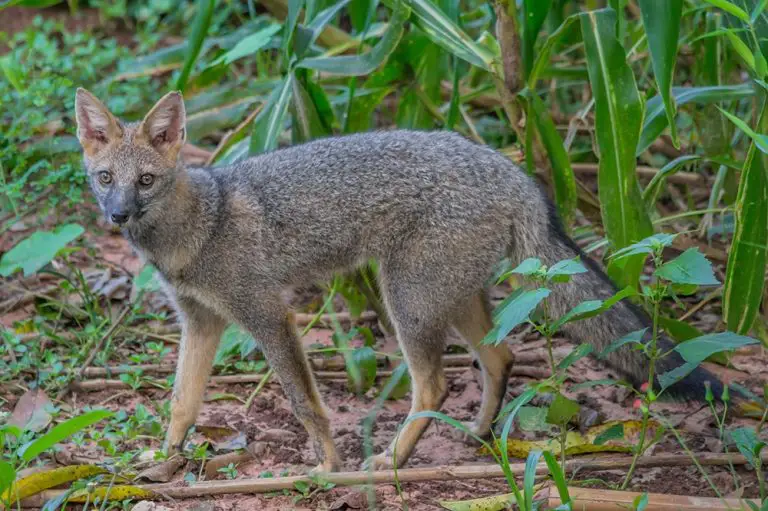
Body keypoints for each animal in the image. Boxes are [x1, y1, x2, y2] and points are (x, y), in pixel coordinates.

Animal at [73, 88, 724, 473]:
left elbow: (305, 403)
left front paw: (327, 467)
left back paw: (392, 458)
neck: (199, 225)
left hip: (406, 302)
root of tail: (511, 171)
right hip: (447, 300)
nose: (118, 215)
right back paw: (477, 437)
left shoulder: (267, 315)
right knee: (500, 356)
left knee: (434, 386)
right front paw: (163, 464)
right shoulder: (200, 322)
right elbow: (182, 404)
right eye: (105, 178)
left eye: (146, 181)